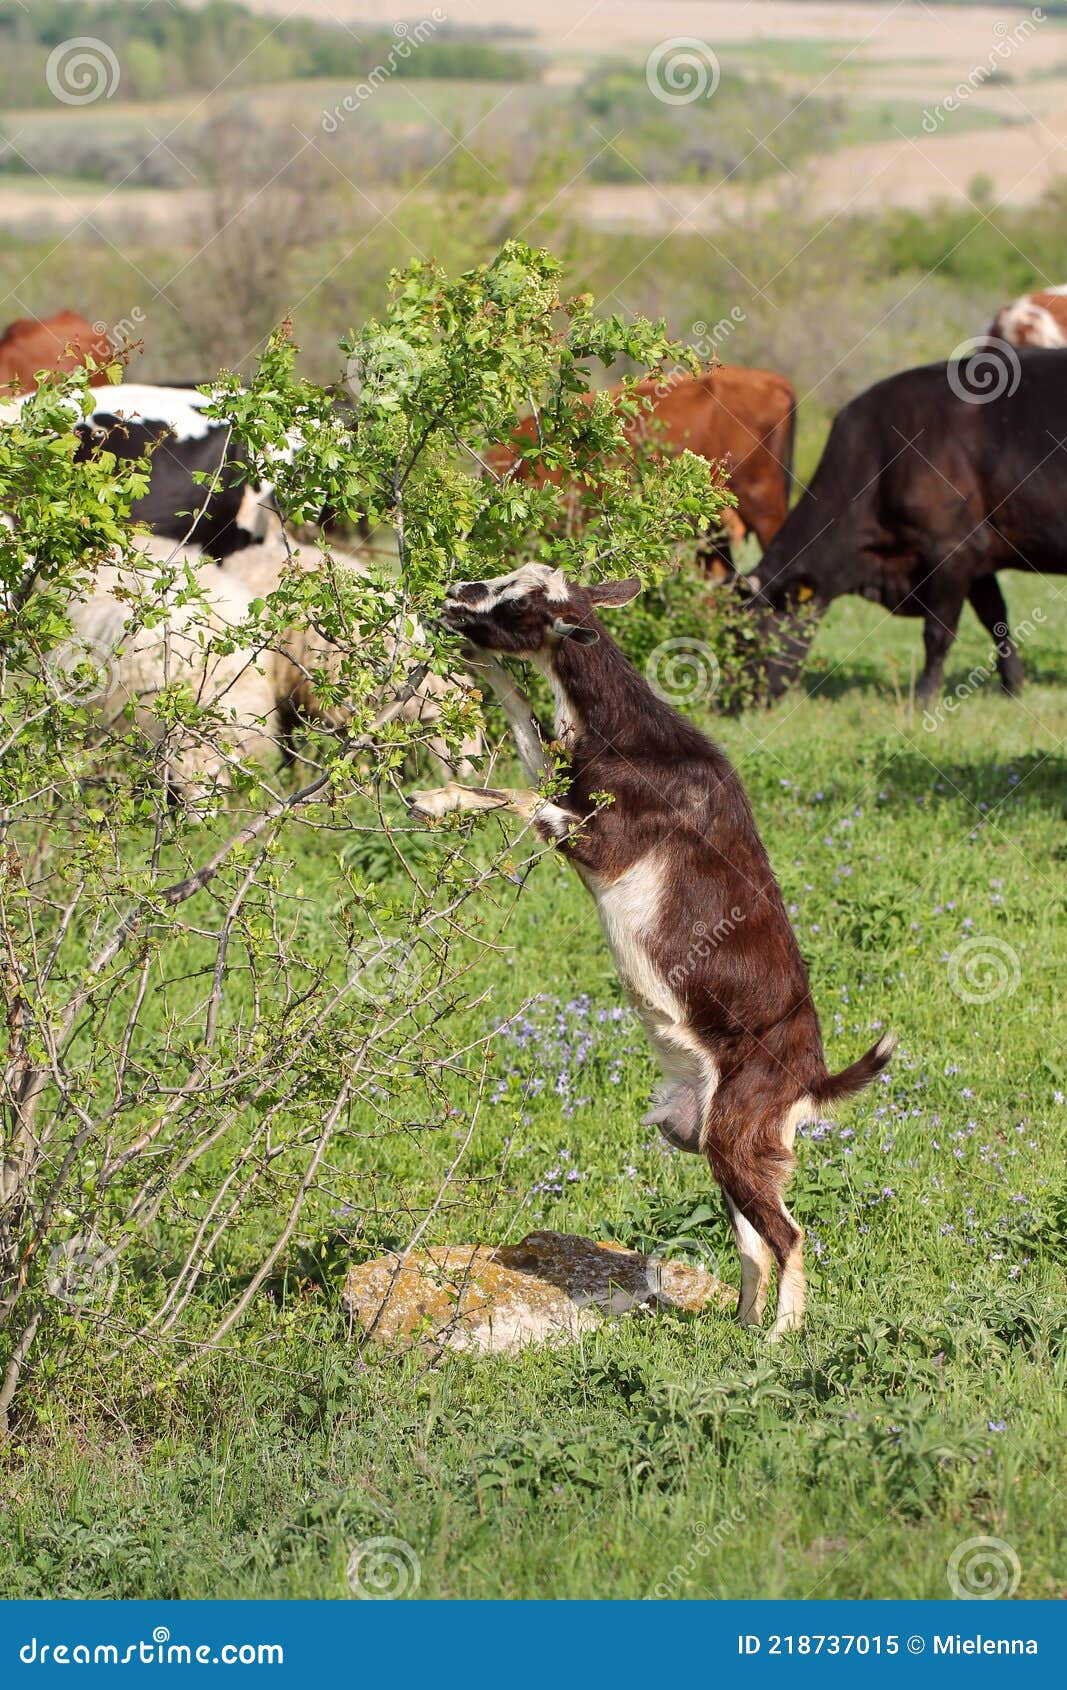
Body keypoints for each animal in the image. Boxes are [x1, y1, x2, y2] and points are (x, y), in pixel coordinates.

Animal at [408, 563, 894, 1338]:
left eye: (517, 606)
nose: (453, 597)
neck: (632, 738)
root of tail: (811, 1079)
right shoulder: (563, 774)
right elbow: (524, 731)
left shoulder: (602, 842)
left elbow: (520, 795)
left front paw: (433, 796)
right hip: (716, 1142)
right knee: (753, 1240)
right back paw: (739, 1325)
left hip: (738, 1135)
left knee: (789, 1235)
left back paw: (780, 1336)